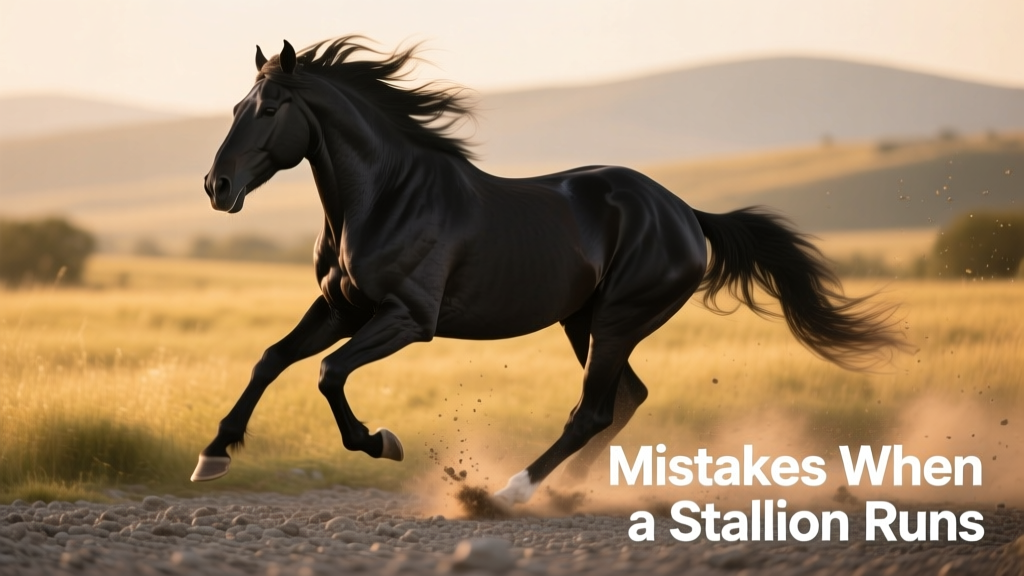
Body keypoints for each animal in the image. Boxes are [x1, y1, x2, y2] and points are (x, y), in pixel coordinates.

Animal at [195, 37, 908, 506]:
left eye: (269, 109)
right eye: (233, 107)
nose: (216, 186)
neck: (385, 198)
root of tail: (685, 213)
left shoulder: (407, 318)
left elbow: (327, 372)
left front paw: (382, 442)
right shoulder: (341, 308)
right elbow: (271, 358)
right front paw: (214, 455)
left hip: (618, 319)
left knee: (593, 410)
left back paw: (509, 492)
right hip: (583, 322)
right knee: (624, 400)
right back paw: (566, 494)